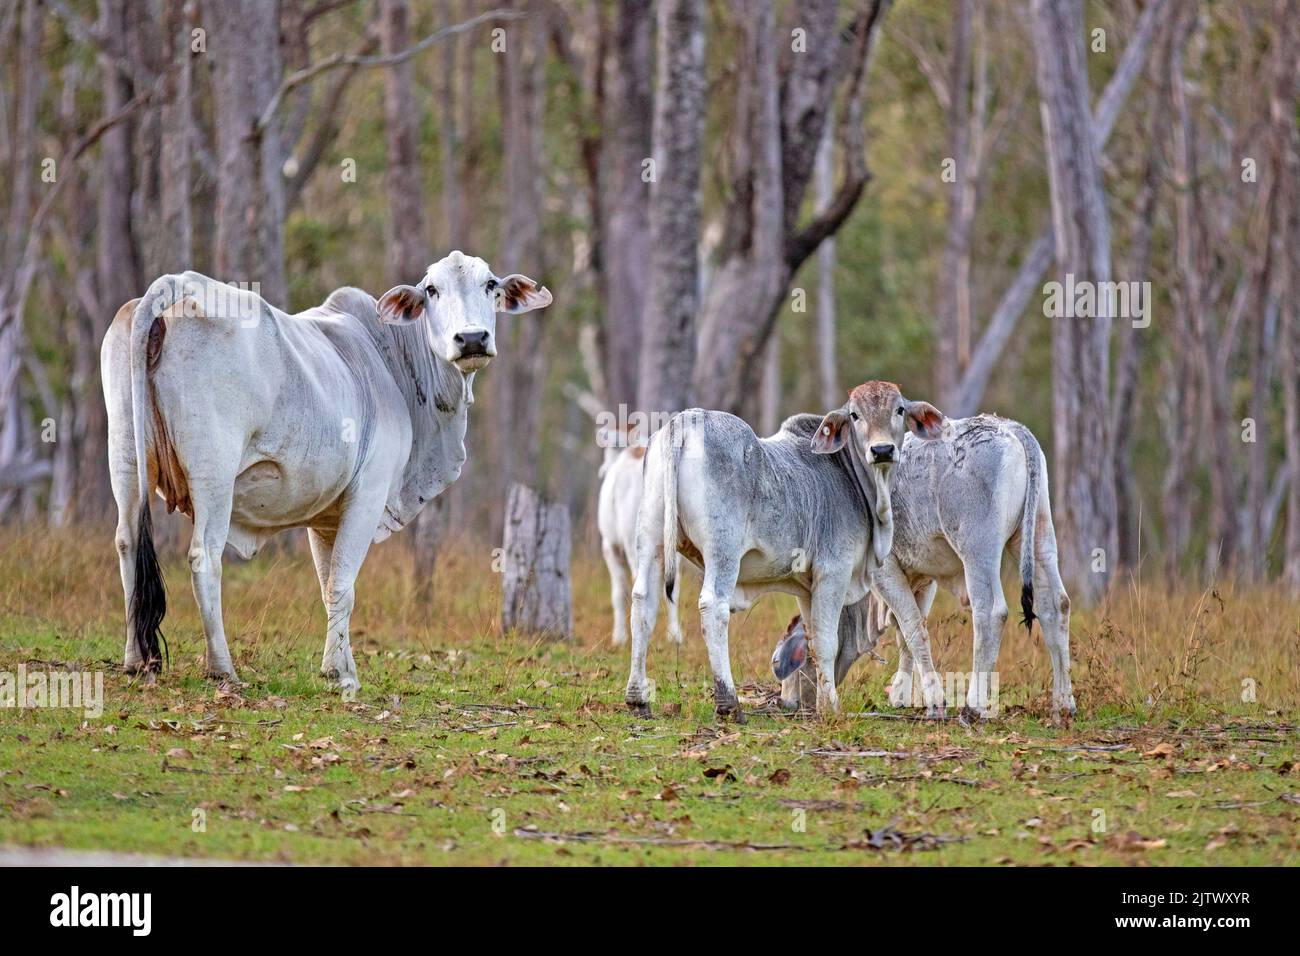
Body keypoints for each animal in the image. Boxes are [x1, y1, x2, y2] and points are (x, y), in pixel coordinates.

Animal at [101, 252, 551, 692]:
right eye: (432, 289)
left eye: (490, 284)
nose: (472, 339)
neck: (392, 360)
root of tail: (175, 284)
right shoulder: (366, 496)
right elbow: (343, 586)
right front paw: (341, 675)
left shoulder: (324, 518)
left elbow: (327, 585)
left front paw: (337, 665)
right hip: (214, 473)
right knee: (204, 557)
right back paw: (222, 668)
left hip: (125, 456)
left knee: (127, 543)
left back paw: (135, 661)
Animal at [623, 382, 946, 720]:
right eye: (855, 414)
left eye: (899, 409)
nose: (882, 450)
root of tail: (685, 421)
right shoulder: (834, 570)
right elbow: (828, 640)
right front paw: (831, 707)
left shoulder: (807, 587)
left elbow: (815, 641)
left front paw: (821, 703)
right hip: (722, 550)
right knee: (713, 607)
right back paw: (729, 703)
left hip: (651, 540)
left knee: (643, 602)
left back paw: (638, 699)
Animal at [770, 414, 1075, 721]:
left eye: (787, 661)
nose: (787, 701)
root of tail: (1008, 426)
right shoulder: (924, 579)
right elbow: (908, 634)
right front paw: (902, 695)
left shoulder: (884, 573)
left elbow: (913, 630)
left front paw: (935, 699)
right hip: (1037, 538)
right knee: (1056, 605)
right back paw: (1064, 704)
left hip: (978, 550)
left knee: (990, 613)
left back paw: (973, 706)